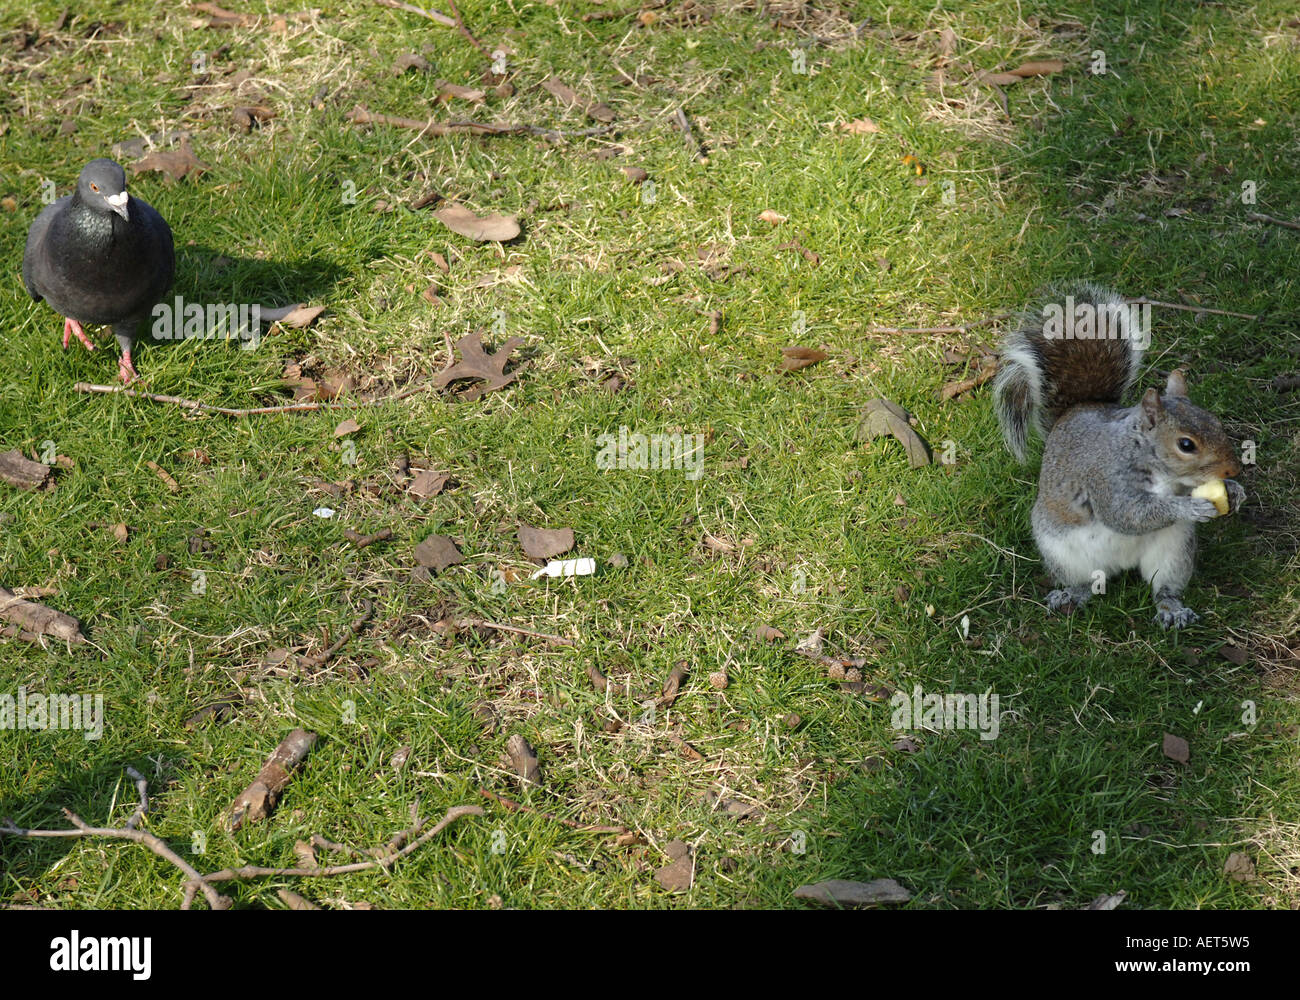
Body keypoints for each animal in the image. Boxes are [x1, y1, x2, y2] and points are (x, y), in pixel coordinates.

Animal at [992, 282, 1244, 628]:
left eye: (1216, 422)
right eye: (1186, 445)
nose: (1232, 470)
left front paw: (1235, 492)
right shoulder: (1105, 477)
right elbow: (1127, 514)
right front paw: (1189, 507)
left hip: (1174, 552)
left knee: (1164, 586)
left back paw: (1171, 608)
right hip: (1064, 554)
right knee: (1085, 582)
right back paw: (1072, 595)